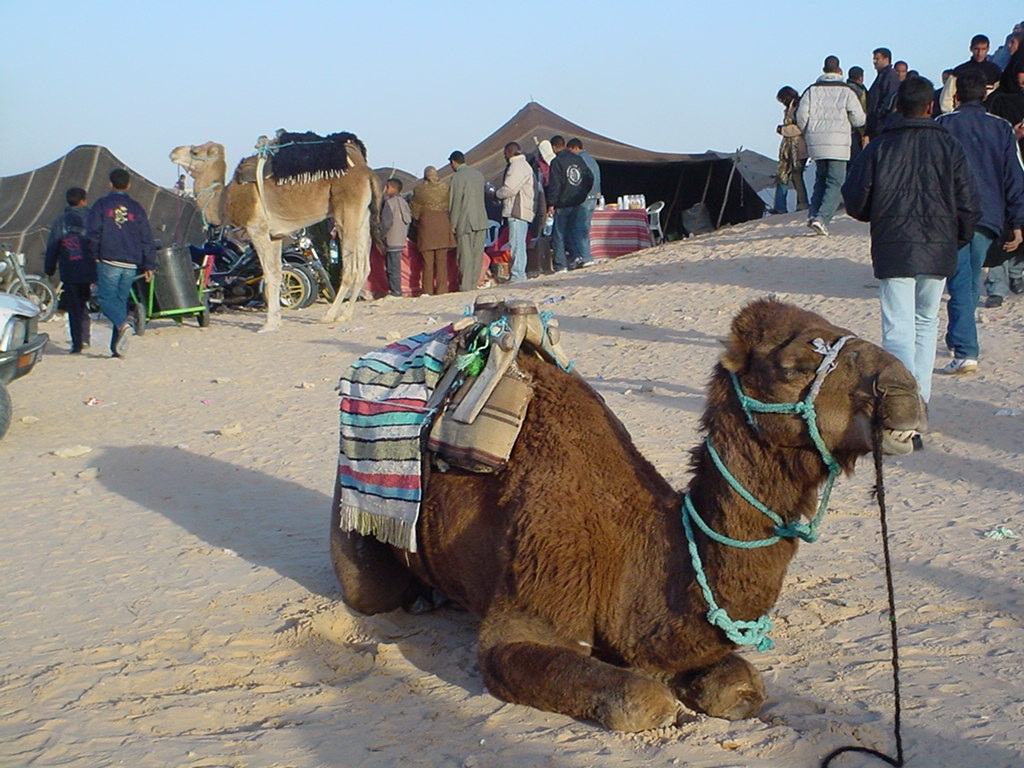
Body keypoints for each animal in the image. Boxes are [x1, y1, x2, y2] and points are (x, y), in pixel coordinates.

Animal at [170, 138, 380, 332]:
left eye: (195, 151)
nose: (173, 152)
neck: (225, 201)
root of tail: (368, 173)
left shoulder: (257, 229)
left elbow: (269, 274)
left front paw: (269, 324)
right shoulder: (276, 235)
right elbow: (278, 274)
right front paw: (277, 320)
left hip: (346, 213)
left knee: (351, 269)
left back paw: (330, 315)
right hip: (363, 218)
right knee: (365, 268)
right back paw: (346, 314)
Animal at [330, 298, 924, 731]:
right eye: (795, 365)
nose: (904, 392)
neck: (633, 550)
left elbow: (740, 689)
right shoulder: (529, 606)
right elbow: (643, 702)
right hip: (352, 521)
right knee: (372, 590)